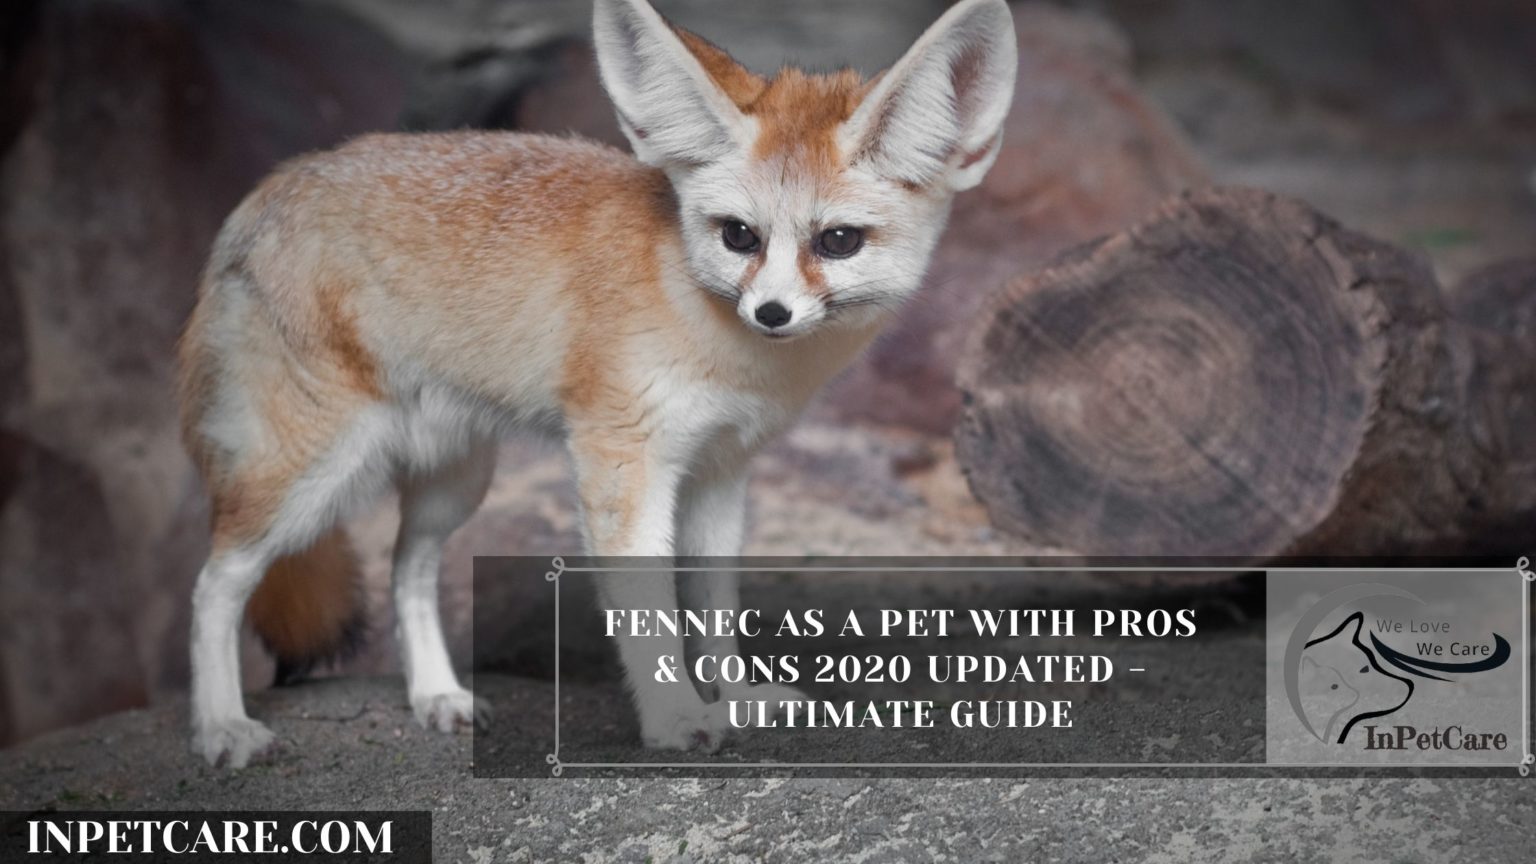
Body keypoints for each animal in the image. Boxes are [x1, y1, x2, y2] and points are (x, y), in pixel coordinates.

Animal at [178, 0, 1017, 767]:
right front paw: (675, 718)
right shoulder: (622, 459)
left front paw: (734, 695)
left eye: (837, 241)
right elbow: (650, 612)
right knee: (215, 583)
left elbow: (714, 605)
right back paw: (221, 727)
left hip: (455, 481)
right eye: (738, 236)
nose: (771, 312)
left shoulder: (720, 470)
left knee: (406, 567)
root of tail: (271, 189)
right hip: (312, 477)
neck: (723, 347)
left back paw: (435, 695)